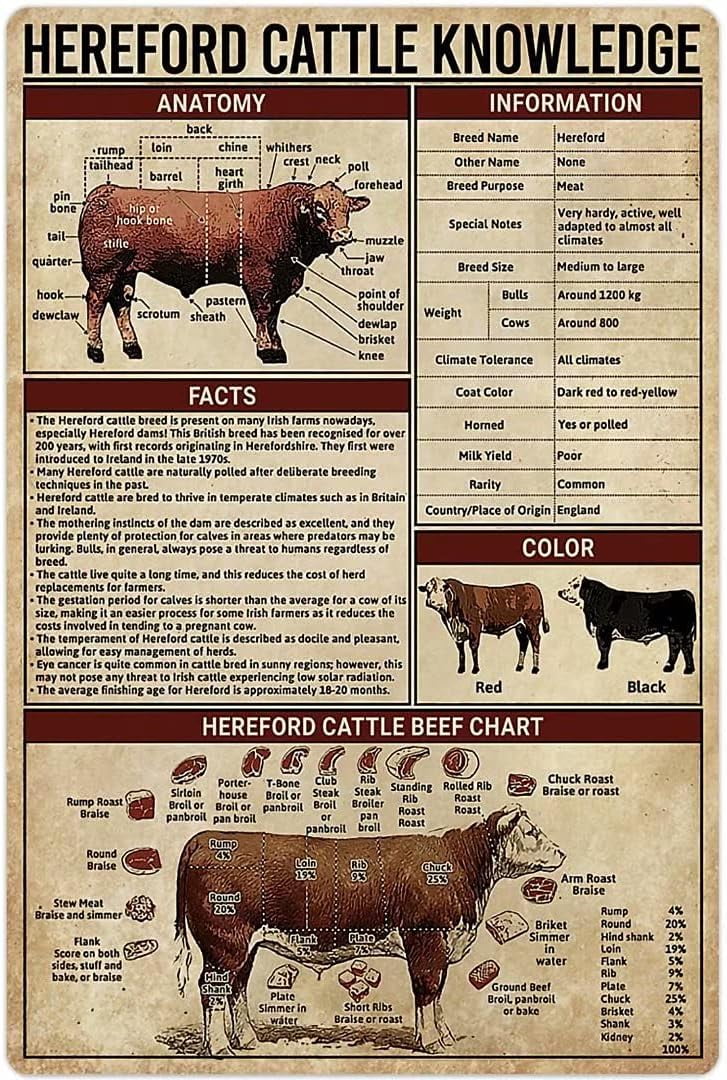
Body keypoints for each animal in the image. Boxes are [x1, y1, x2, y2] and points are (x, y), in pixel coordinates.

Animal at [78, 181, 370, 365]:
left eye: (346, 209)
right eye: (320, 210)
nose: (344, 235)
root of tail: (106, 190)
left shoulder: (280, 282)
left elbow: (274, 316)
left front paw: (278, 348)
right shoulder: (259, 279)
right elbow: (263, 314)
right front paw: (266, 350)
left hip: (125, 272)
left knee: (121, 304)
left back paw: (132, 347)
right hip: (104, 270)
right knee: (96, 302)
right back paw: (95, 349)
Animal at [174, 806, 564, 1055]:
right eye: (531, 832)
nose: (561, 852)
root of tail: (206, 837)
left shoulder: (444, 943)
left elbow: (437, 993)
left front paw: (445, 1036)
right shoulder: (425, 939)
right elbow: (427, 989)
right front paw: (431, 1042)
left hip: (244, 947)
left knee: (236, 988)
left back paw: (246, 1040)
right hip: (224, 942)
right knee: (212, 989)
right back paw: (219, 1047)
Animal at [419, 577, 550, 675]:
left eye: (441, 589)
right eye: (427, 590)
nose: (430, 601)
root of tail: (531, 586)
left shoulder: (474, 626)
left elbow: (473, 647)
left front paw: (475, 669)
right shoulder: (457, 633)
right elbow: (461, 651)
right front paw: (461, 669)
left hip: (532, 622)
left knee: (535, 640)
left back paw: (535, 668)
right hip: (520, 627)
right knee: (524, 642)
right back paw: (519, 666)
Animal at [558, 575, 697, 674]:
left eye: (576, 585)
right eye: (570, 583)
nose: (560, 591)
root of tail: (685, 592)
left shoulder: (603, 630)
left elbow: (603, 648)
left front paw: (602, 665)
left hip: (683, 632)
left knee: (686, 648)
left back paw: (689, 670)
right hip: (672, 633)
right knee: (674, 647)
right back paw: (668, 667)